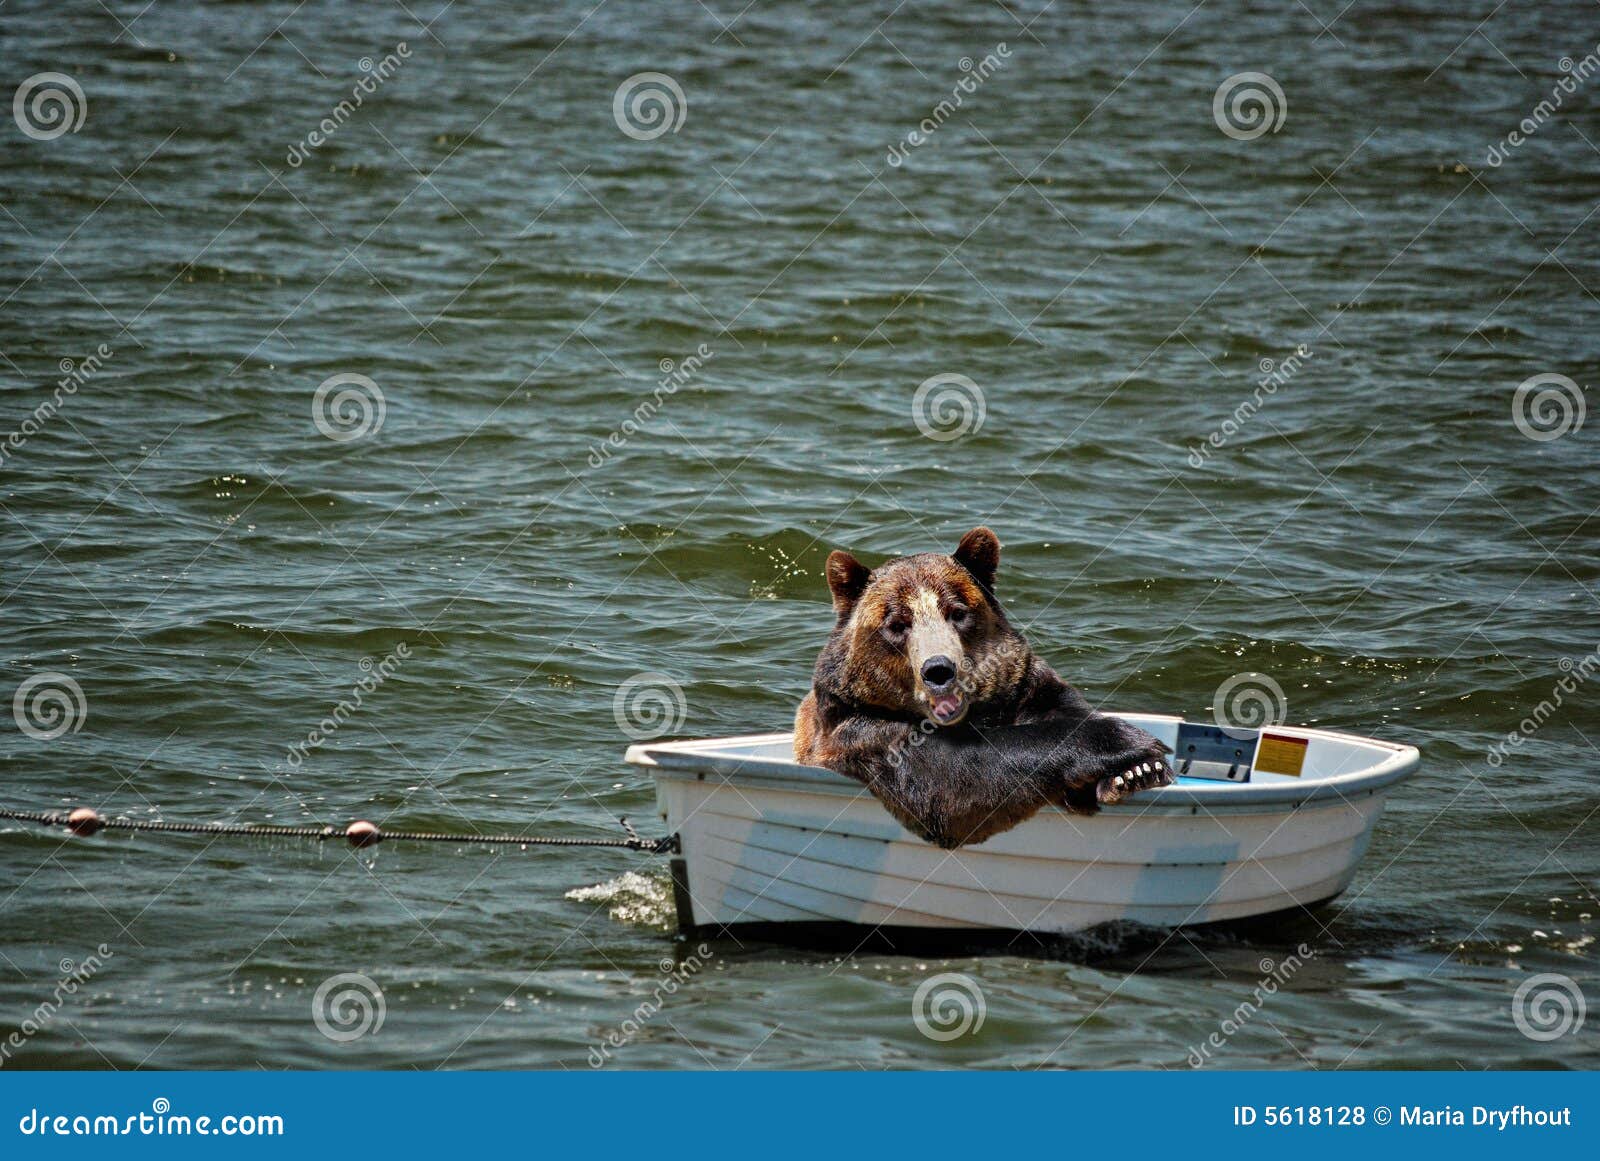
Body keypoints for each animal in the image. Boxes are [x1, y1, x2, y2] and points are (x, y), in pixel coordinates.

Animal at [794, 526, 1174, 848]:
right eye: (898, 623)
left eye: (957, 611)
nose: (939, 670)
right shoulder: (863, 731)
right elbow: (955, 777)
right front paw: (1129, 741)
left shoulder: (1025, 687)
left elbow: (1063, 708)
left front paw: (1137, 772)